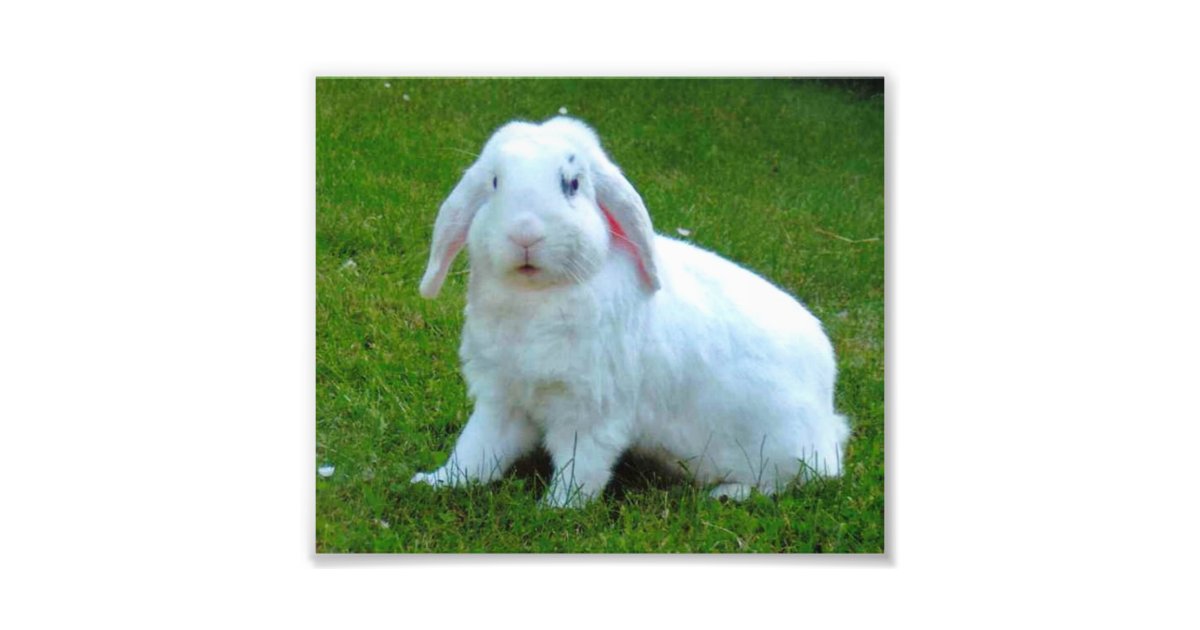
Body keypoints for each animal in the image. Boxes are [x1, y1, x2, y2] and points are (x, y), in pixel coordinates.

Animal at [410, 116, 850, 507]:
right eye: (495, 182)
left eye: (573, 184)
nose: (525, 234)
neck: (536, 297)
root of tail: (828, 420)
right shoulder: (502, 400)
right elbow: (477, 450)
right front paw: (436, 482)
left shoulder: (591, 413)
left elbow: (581, 468)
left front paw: (555, 509)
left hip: (779, 450)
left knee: (790, 480)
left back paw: (729, 493)